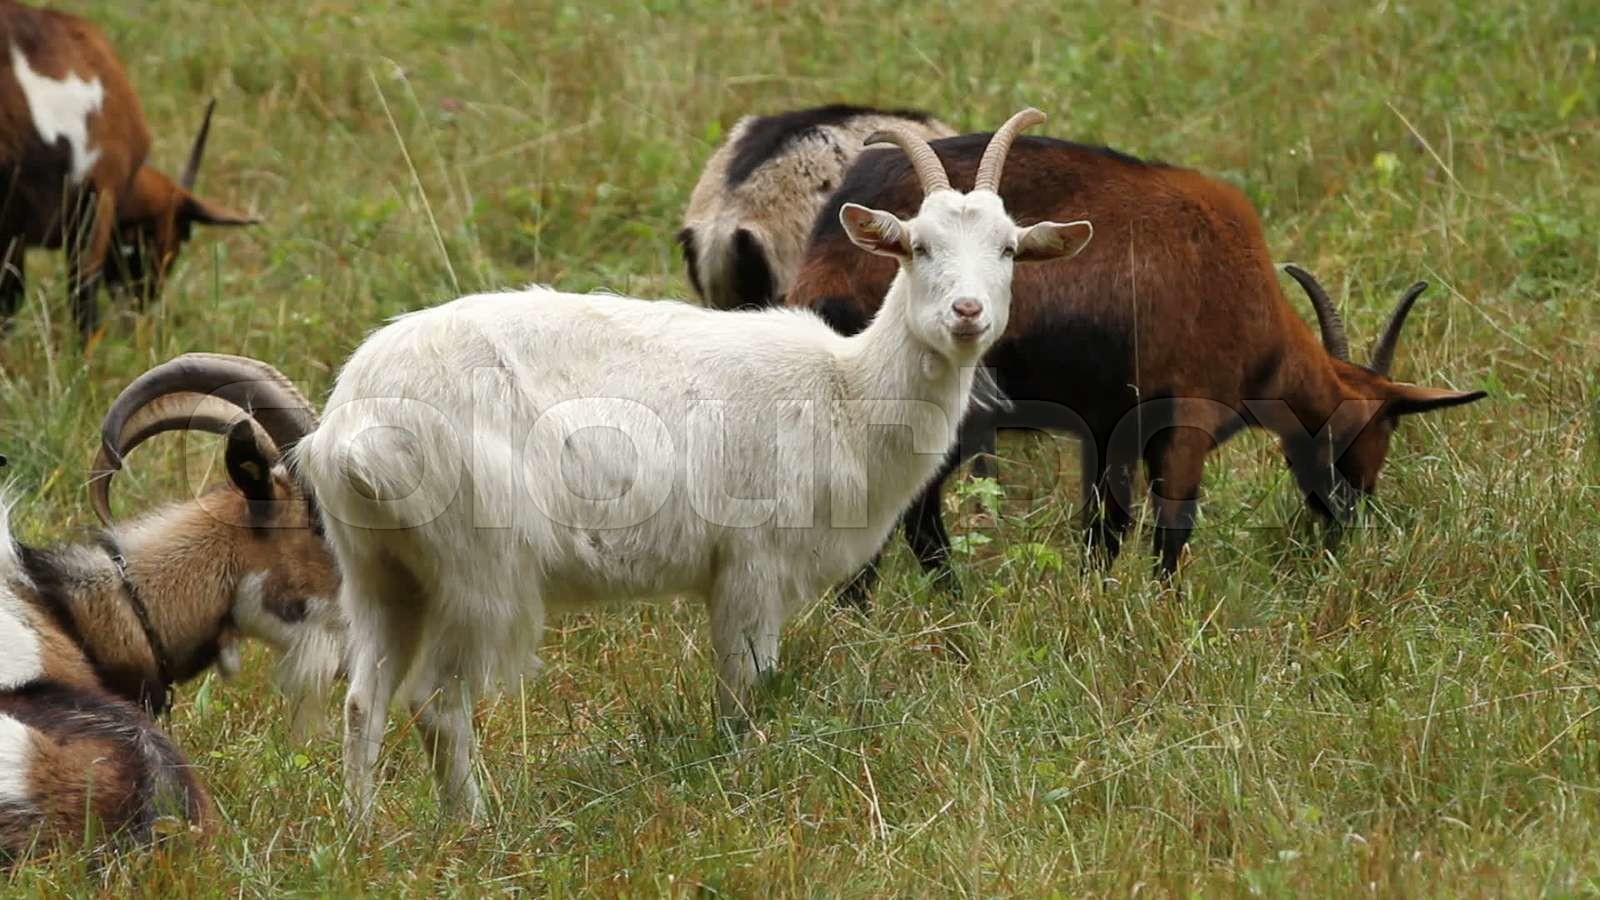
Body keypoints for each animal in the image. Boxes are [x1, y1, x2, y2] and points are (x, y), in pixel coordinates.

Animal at [786, 132, 1488, 593]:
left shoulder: (1108, 430)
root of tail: (827, 247)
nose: (1349, 520)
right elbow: (1170, 531)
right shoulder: (1186, 420)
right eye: (1370, 430)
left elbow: (1106, 531)